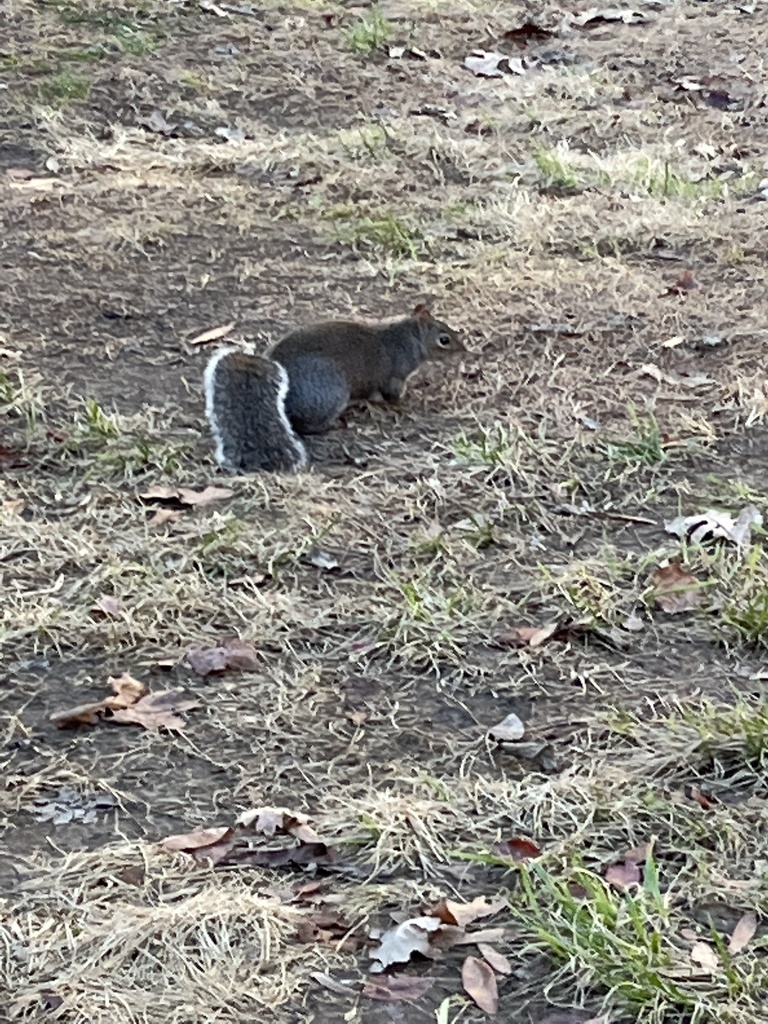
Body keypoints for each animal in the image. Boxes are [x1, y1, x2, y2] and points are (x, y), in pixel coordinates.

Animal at [204, 304, 464, 474]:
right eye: (444, 339)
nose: (465, 350)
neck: (406, 339)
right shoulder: (394, 376)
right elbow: (392, 396)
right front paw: (406, 403)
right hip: (331, 392)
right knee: (308, 426)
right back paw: (334, 425)